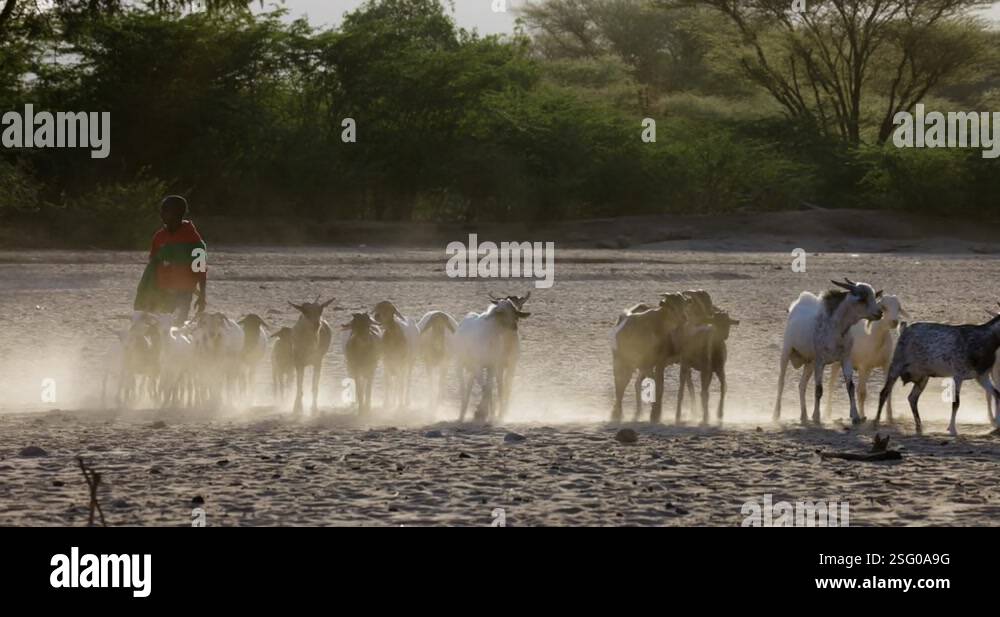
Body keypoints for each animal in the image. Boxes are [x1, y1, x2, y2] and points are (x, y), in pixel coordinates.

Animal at [774, 278, 884, 425]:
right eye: (862, 298)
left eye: (873, 296)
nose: (879, 313)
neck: (836, 328)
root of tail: (797, 305)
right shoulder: (820, 361)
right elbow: (818, 389)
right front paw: (816, 416)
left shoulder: (845, 359)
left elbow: (850, 386)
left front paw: (855, 416)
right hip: (786, 352)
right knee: (781, 382)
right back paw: (776, 414)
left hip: (810, 363)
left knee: (802, 385)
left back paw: (804, 415)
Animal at [875, 307, 1000, 436]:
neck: (984, 339)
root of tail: (904, 329)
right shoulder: (958, 375)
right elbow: (956, 403)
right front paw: (952, 429)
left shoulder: (981, 376)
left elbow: (997, 394)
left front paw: (996, 425)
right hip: (896, 365)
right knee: (884, 392)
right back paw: (876, 423)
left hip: (923, 377)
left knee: (912, 398)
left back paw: (919, 427)